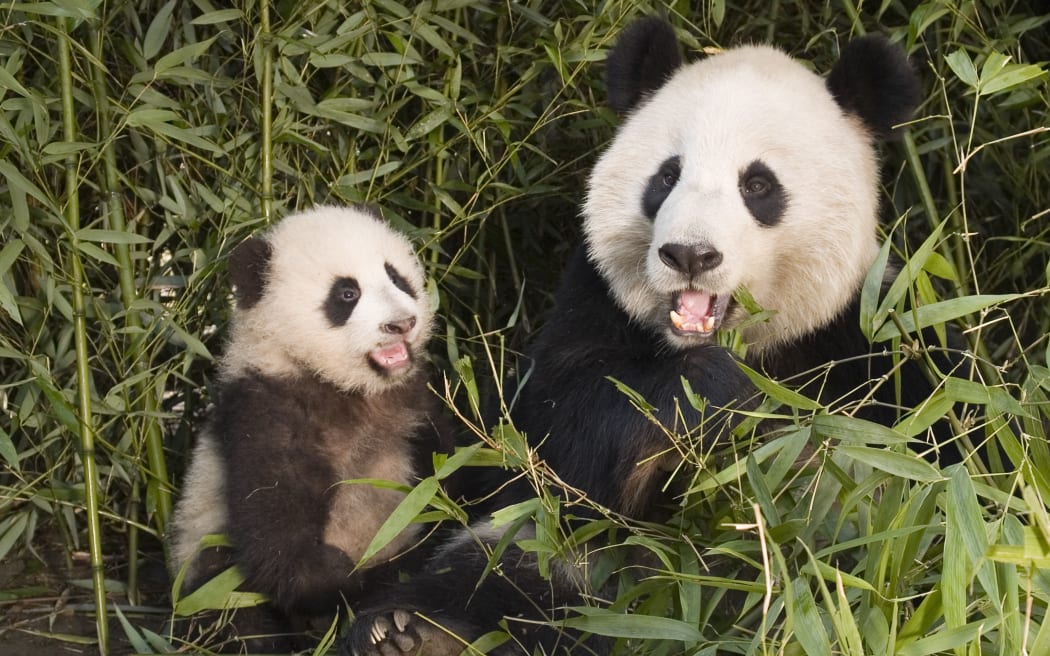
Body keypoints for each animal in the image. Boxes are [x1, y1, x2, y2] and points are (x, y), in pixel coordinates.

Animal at [169, 205, 448, 644]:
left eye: (395, 277)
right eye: (347, 294)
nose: (402, 323)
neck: (346, 387)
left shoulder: (412, 405)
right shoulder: (267, 412)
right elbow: (277, 538)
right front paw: (348, 580)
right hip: (202, 553)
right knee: (226, 604)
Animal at [343, 16, 952, 656]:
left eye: (759, 185)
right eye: (667, 176)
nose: (690, 254)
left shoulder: (877, 334)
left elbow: (922, 487)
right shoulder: (591, 304)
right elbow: (563, 444)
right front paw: (712, 390)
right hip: (561, 563)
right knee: (497, 576)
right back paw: (406, 632)